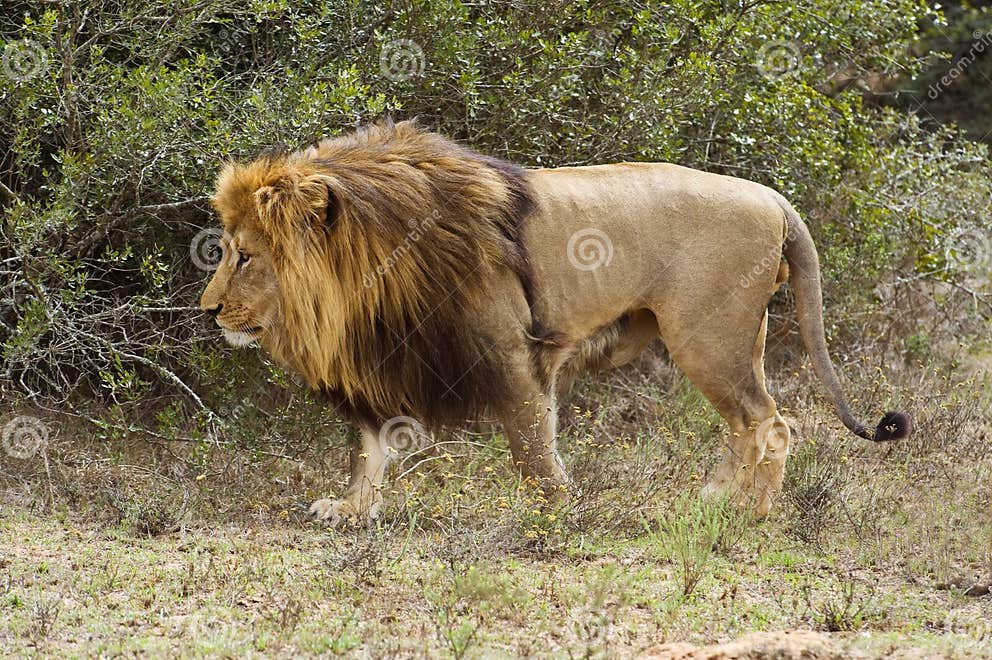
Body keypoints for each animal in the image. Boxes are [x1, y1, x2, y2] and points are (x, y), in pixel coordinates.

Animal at [200, 119, 910, 523]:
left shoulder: (510, 348)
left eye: (245, 256)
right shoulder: (382, 357)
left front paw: (555, 511)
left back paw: (746, 512)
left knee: (770, 423)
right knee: (751, 423)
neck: (369, 263)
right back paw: (719, 501)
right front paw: (349, 510)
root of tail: (777, 201)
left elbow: (531, 441)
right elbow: (369, 449)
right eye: (226, 249)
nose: (208, 310)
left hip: (709, 337)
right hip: (741, 340)